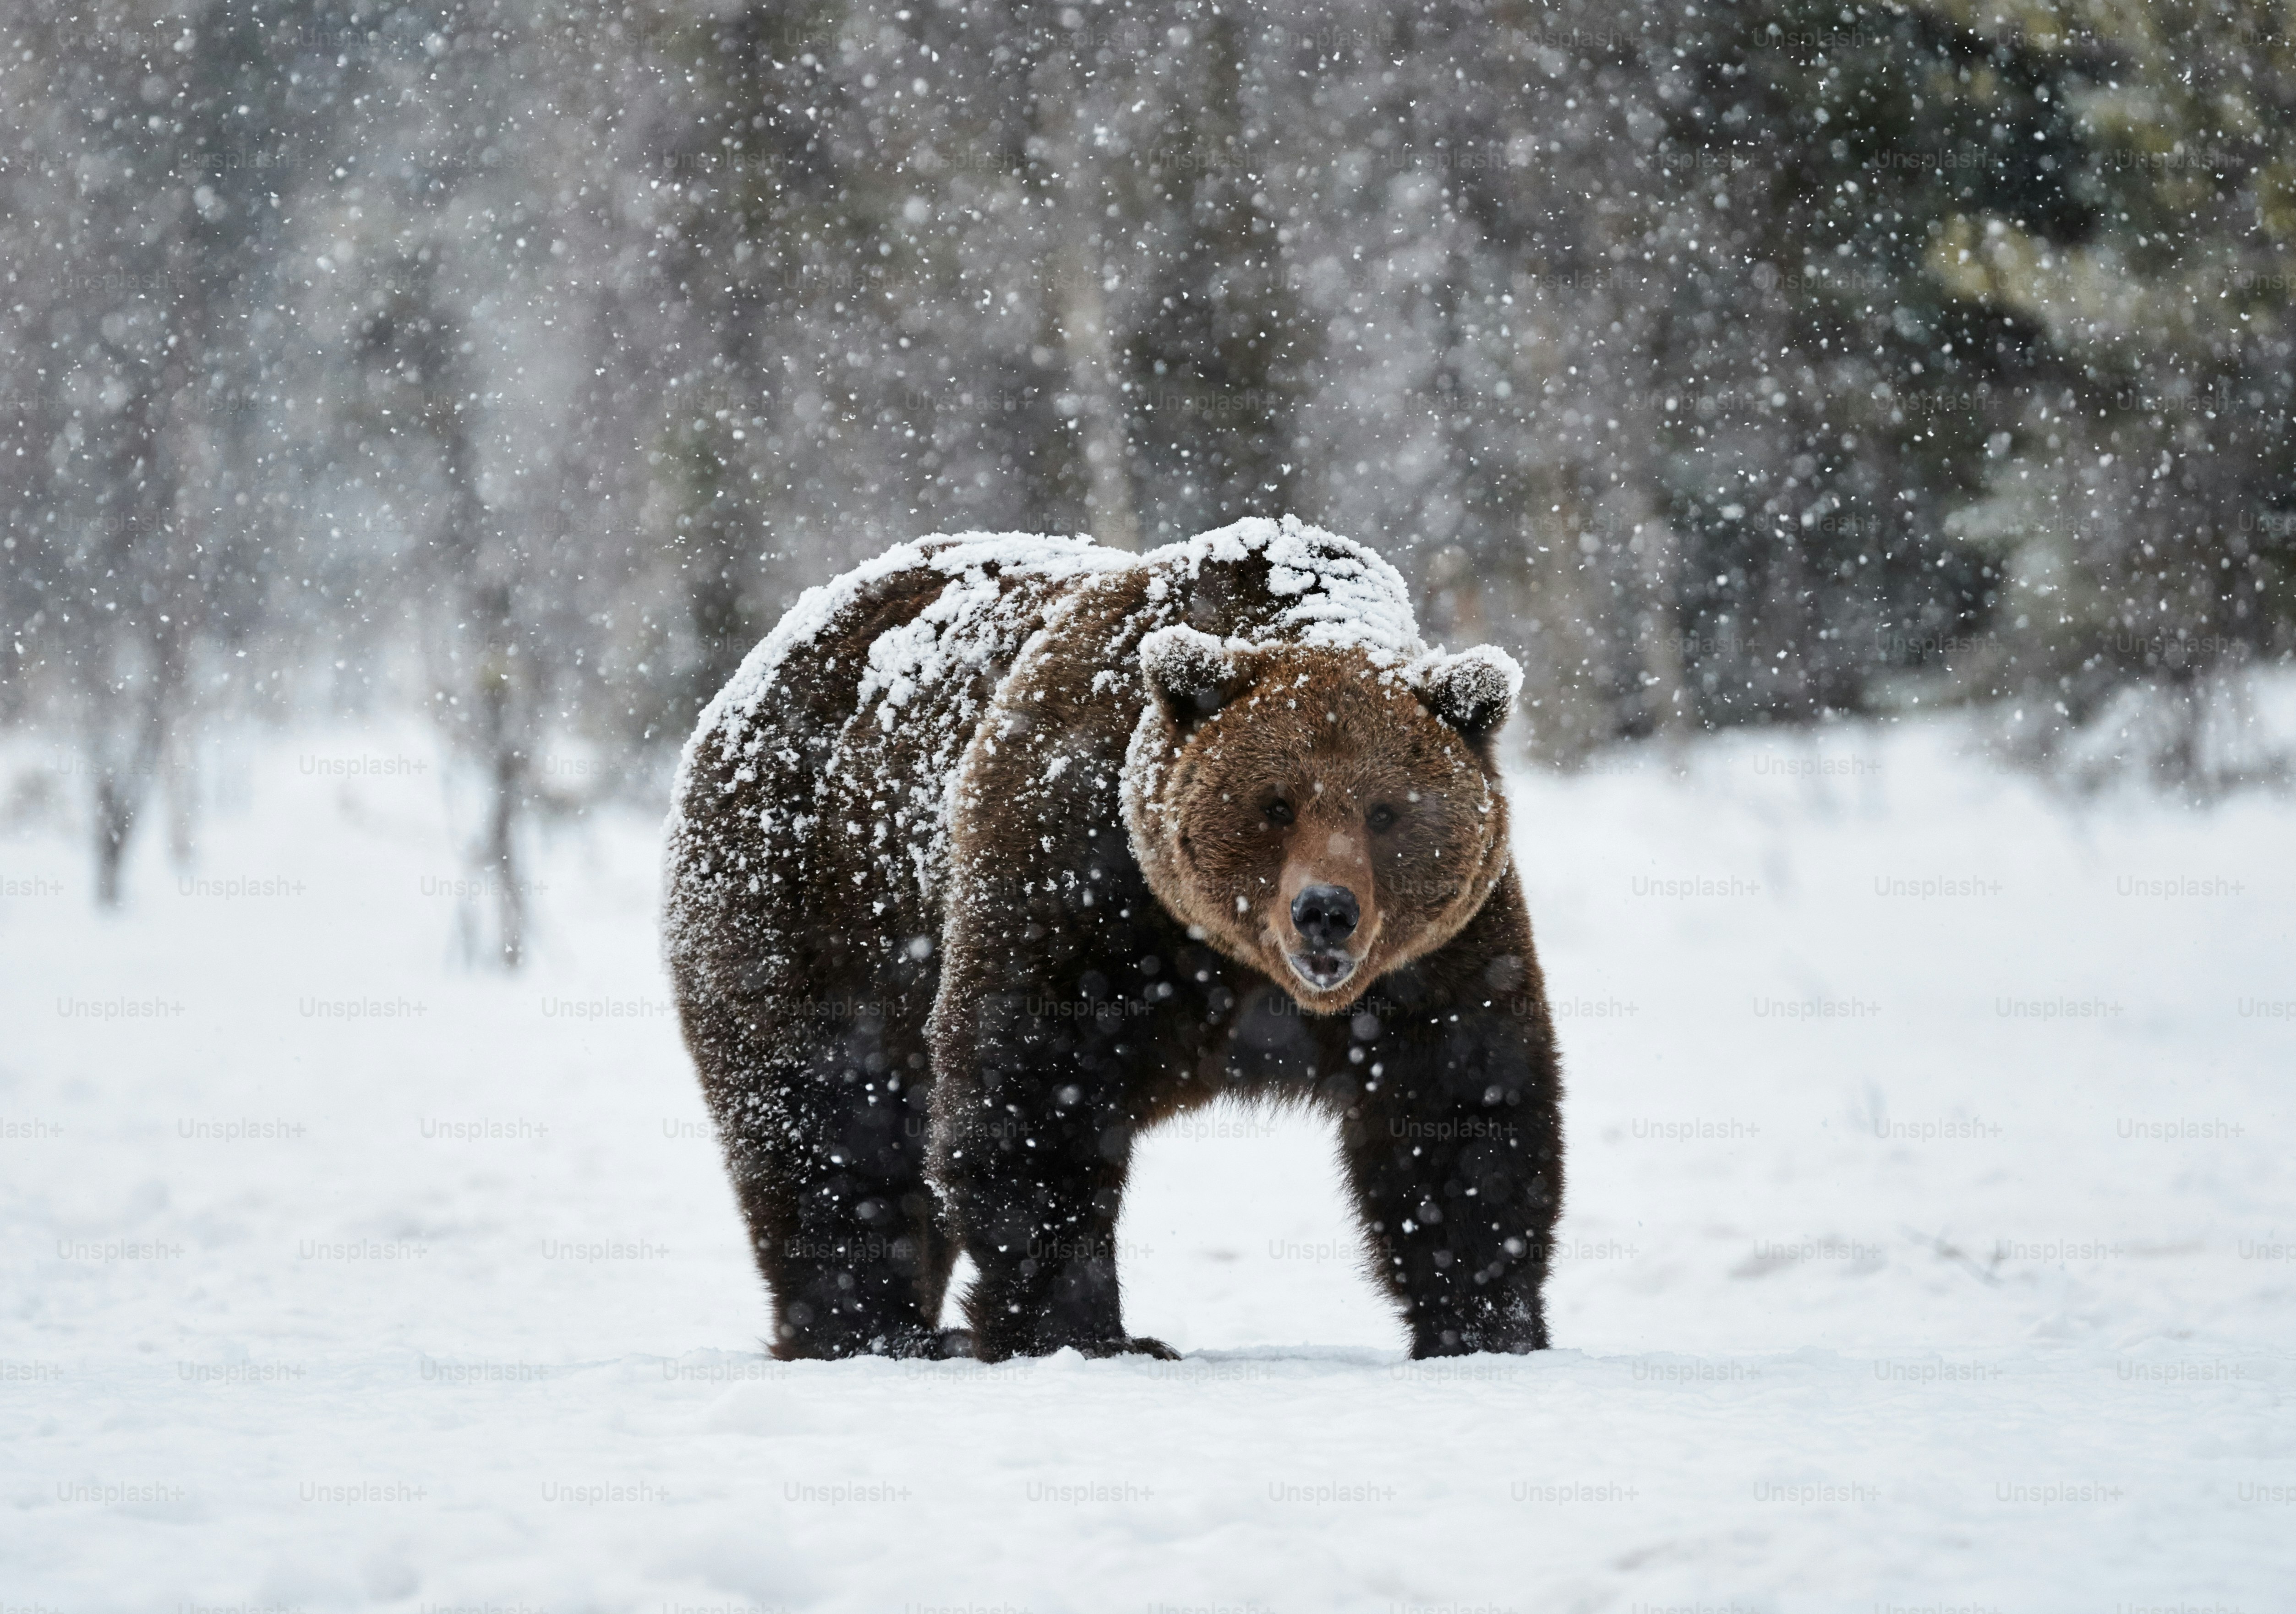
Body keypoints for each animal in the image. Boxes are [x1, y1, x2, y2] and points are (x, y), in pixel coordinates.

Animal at [662, 516, 1563, 1362]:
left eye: (1386, 811)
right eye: (1275, 804)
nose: (1325, 910)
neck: (1234, 960)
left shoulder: (1436, 957)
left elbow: (1463, 1113)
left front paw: (1486, 1326)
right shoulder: (1076, 885)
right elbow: (1032, 1100)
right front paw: (1086, 1332)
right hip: (814, 904)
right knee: (830, 1124)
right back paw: (873, 1330)